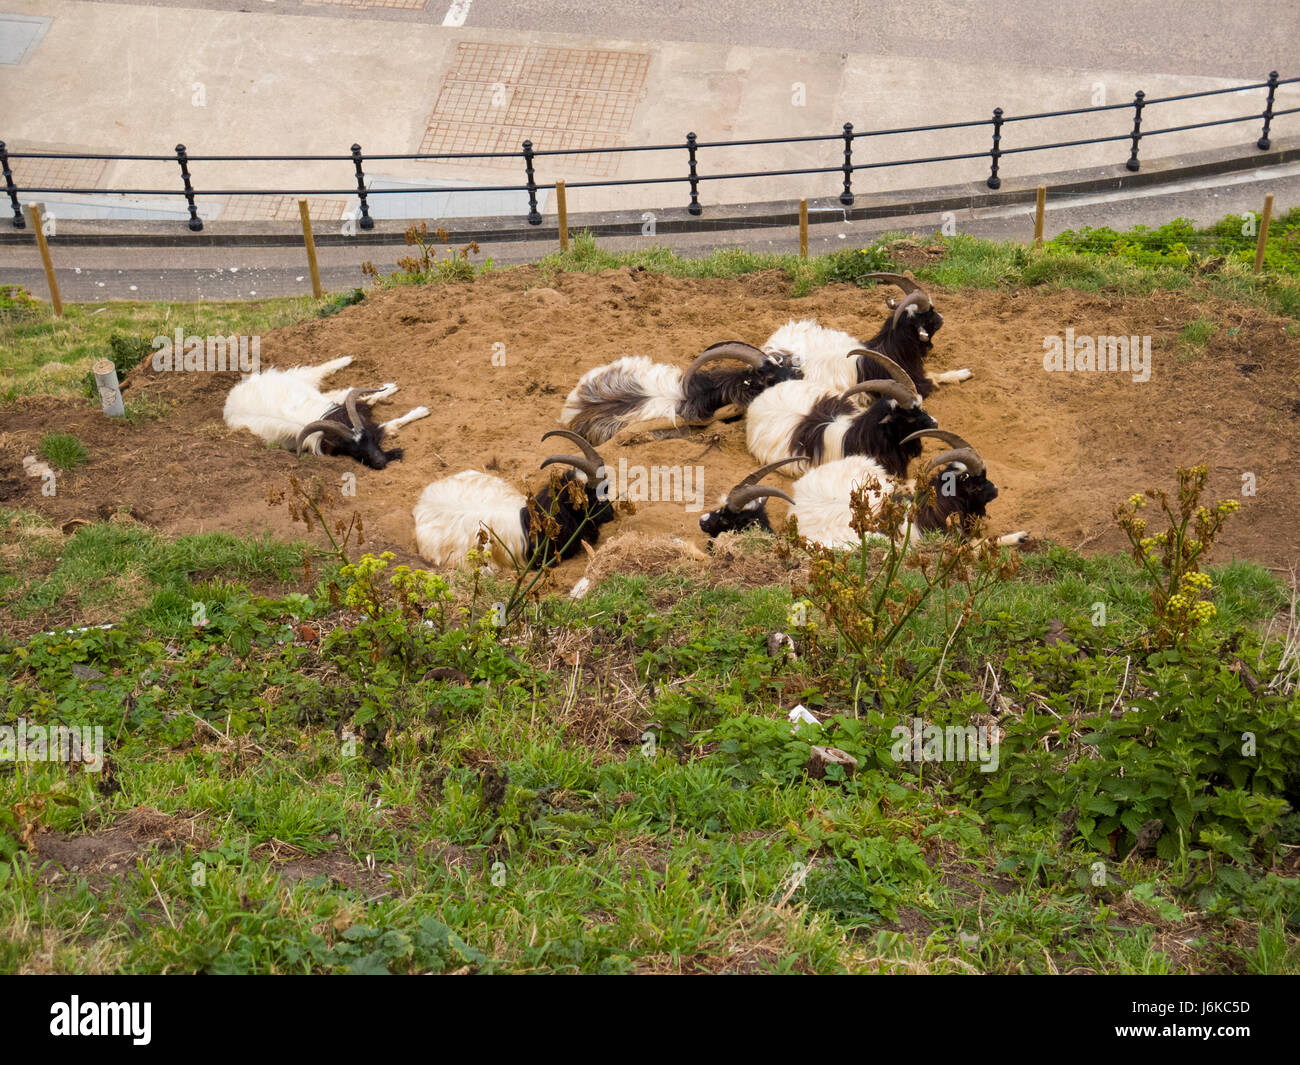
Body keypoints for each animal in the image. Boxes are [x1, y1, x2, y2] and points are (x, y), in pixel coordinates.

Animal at [223, 355, 429, 470]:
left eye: (370, 440)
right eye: (351, 451)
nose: (380, 462)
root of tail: (232, 399)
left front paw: (418, 408)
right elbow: (389, 424)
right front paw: (421, 411)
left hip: (299, 379)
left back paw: (349, 360)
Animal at [763, 273, 969, 397]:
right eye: (929, 314)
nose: (942, 318)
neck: (891, 351)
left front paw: (963, 372)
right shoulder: (912, 383)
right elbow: (931, 379)